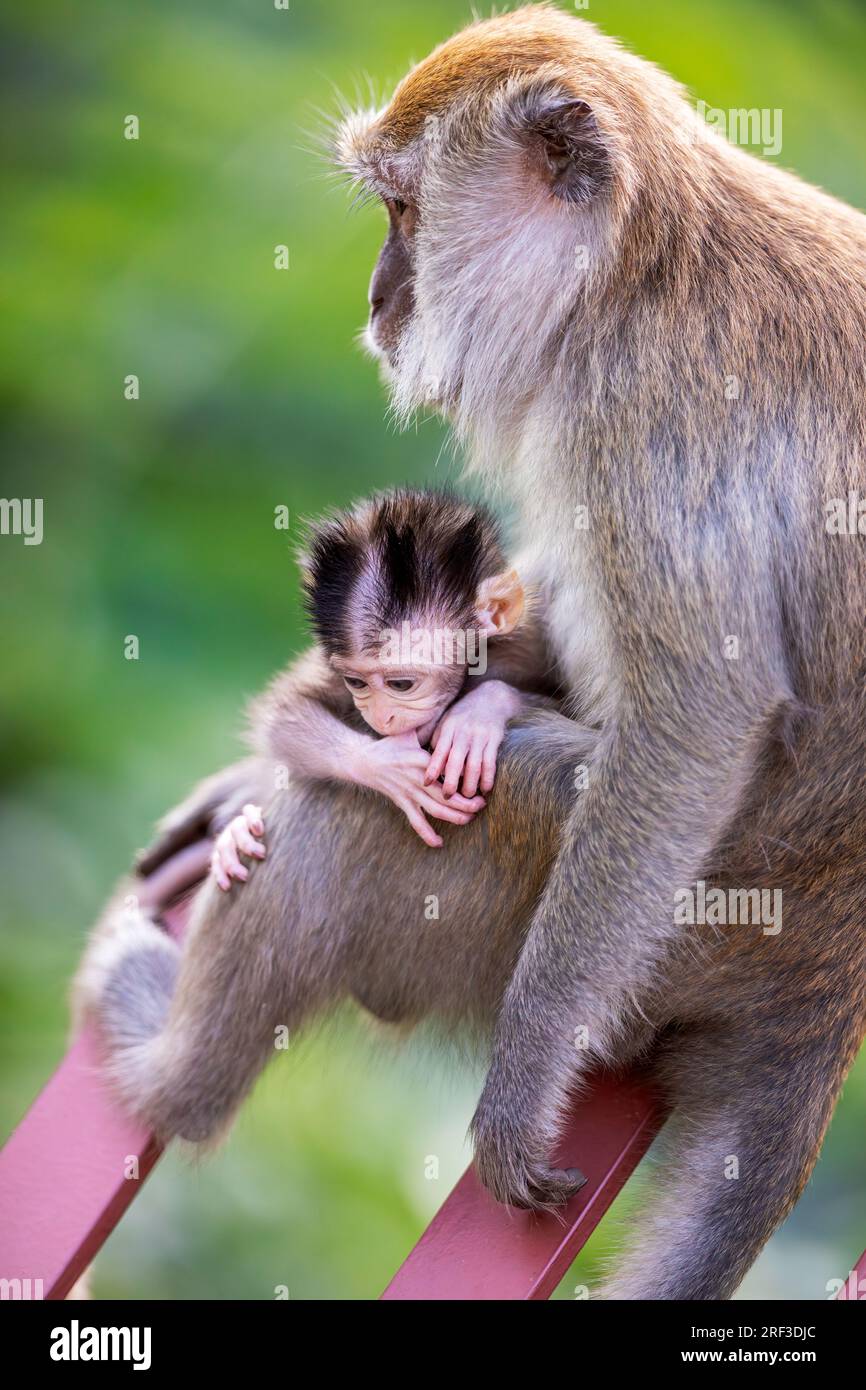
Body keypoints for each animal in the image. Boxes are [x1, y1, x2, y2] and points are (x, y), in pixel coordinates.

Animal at [74, 6, 866, 1300]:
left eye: (403, 210)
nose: (377, 301)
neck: (635, 270)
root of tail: (819, 998)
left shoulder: (638, 407)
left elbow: (698, 709)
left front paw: (526, 1068)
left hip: (662, 947)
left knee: (355, 821)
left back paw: (168, 1067)